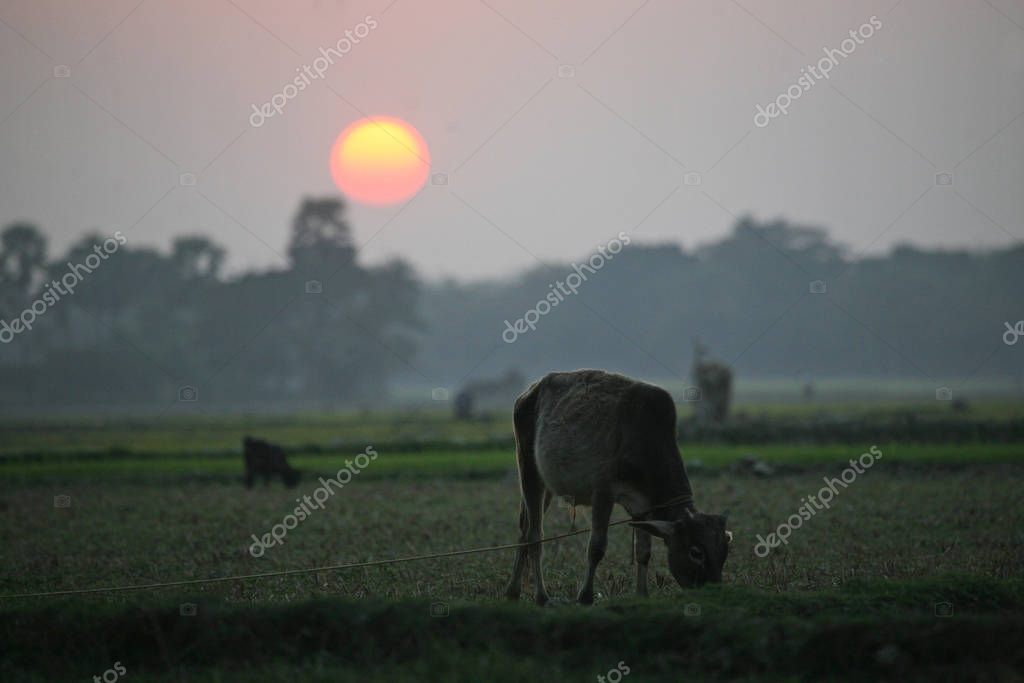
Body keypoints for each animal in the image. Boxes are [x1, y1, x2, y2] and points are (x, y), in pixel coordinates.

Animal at [504, 370, 732, 605]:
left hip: (546, 486)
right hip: (528, 471)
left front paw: (642, 593)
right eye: (696, 552)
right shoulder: (602, 493)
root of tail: (529, 392)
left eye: (725, 551)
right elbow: (596, 547)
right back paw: (541, 596)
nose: (715, 590)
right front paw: (585, 596)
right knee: (534, 535)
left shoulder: (643, 506)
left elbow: (644, 551)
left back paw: (513, 591)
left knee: (523, 531)